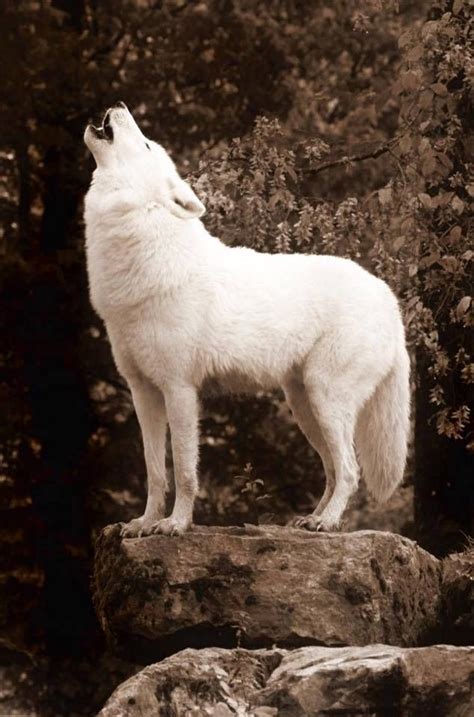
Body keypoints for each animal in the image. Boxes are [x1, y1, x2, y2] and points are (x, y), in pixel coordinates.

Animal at [83, 102, 410, 538]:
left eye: (148, 144)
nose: (118, 105)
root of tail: (389, 299)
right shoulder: (143, 392)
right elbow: (155, 473)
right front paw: (143, 523)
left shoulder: (180, 389)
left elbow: (184, 471)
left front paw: (176, 524)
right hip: (304, 405)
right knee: (331, 469)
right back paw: (311, 519)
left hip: (325, 398)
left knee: (350, 470)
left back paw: (327, 522)